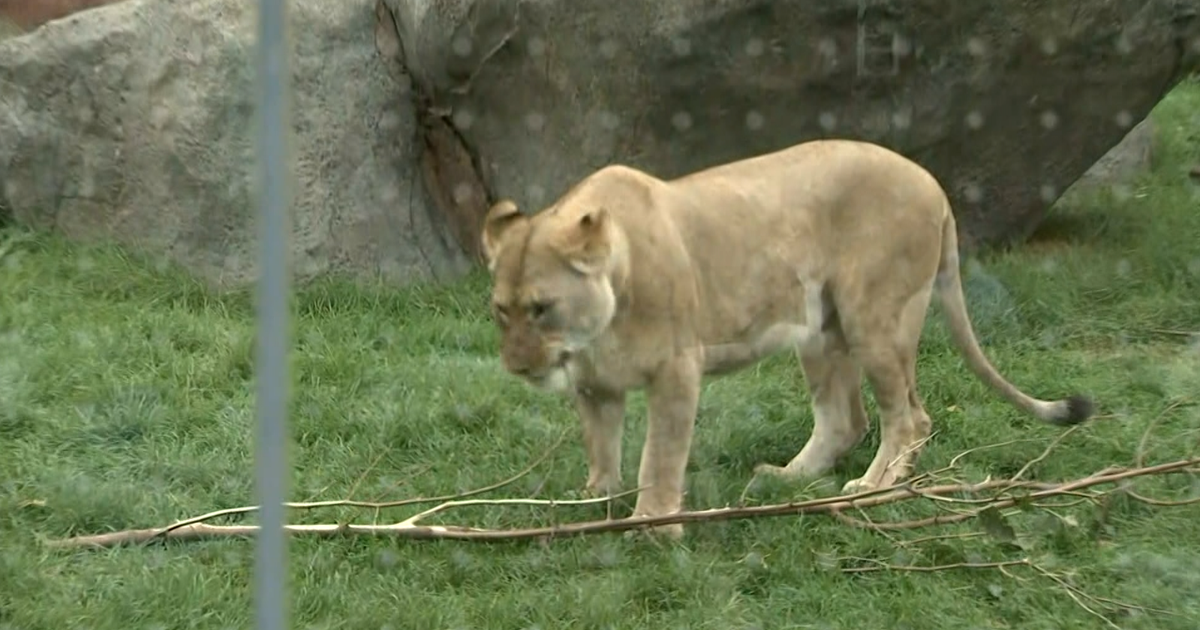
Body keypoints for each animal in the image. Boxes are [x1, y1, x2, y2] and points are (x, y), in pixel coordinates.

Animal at [480, 138, 1095, 538]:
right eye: (501, 311)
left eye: (541, 308)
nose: (516, 368)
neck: (599, 326)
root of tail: (933, 184)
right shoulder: (595, 385)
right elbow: (602, 446)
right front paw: (592, 500)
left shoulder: (677, 370)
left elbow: (660, 456)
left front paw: (652, 525)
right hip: (820, 331)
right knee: (846, 419)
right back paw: (784, 480)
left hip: (875, 317)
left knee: (909, 418)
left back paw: (872, 487)